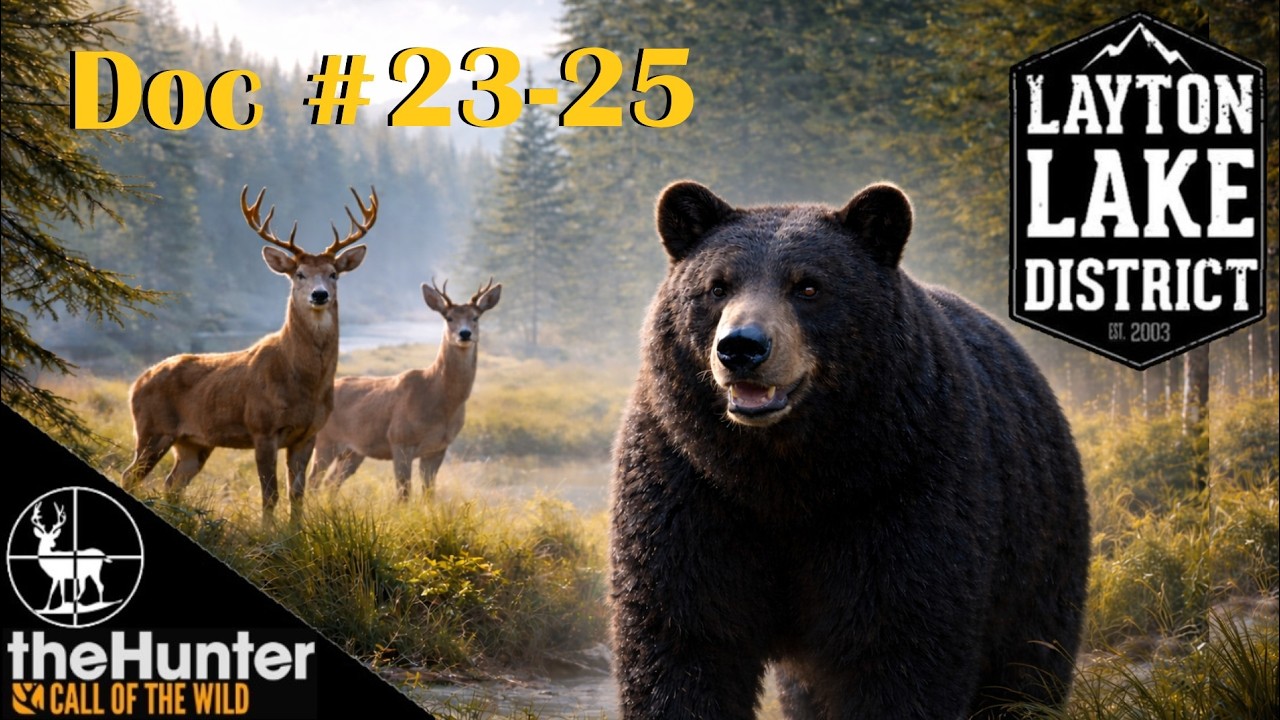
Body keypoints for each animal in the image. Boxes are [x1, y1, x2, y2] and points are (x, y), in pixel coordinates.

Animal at [122, 185, 377, 523]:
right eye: (299, 273)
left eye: (333, 273)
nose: (319, 294)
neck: (303, 383)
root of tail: (137, 382)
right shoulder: (262, 427)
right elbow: (270, 495)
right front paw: (268, 533)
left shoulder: (308, 433)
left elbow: (297, 495)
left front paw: (296, 532)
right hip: (152, 428)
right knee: (130, 475)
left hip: (193, 442)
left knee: (171, 483)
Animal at [308, 278, 501, 500]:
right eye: (449, 318)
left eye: (475, 317)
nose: (465, 334)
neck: (438, 397)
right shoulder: (399, 440)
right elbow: (404, 494)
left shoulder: (438, 448)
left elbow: (428, 493)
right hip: (325, 439)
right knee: (312, 481)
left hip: (354, 450)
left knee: (331, 483)